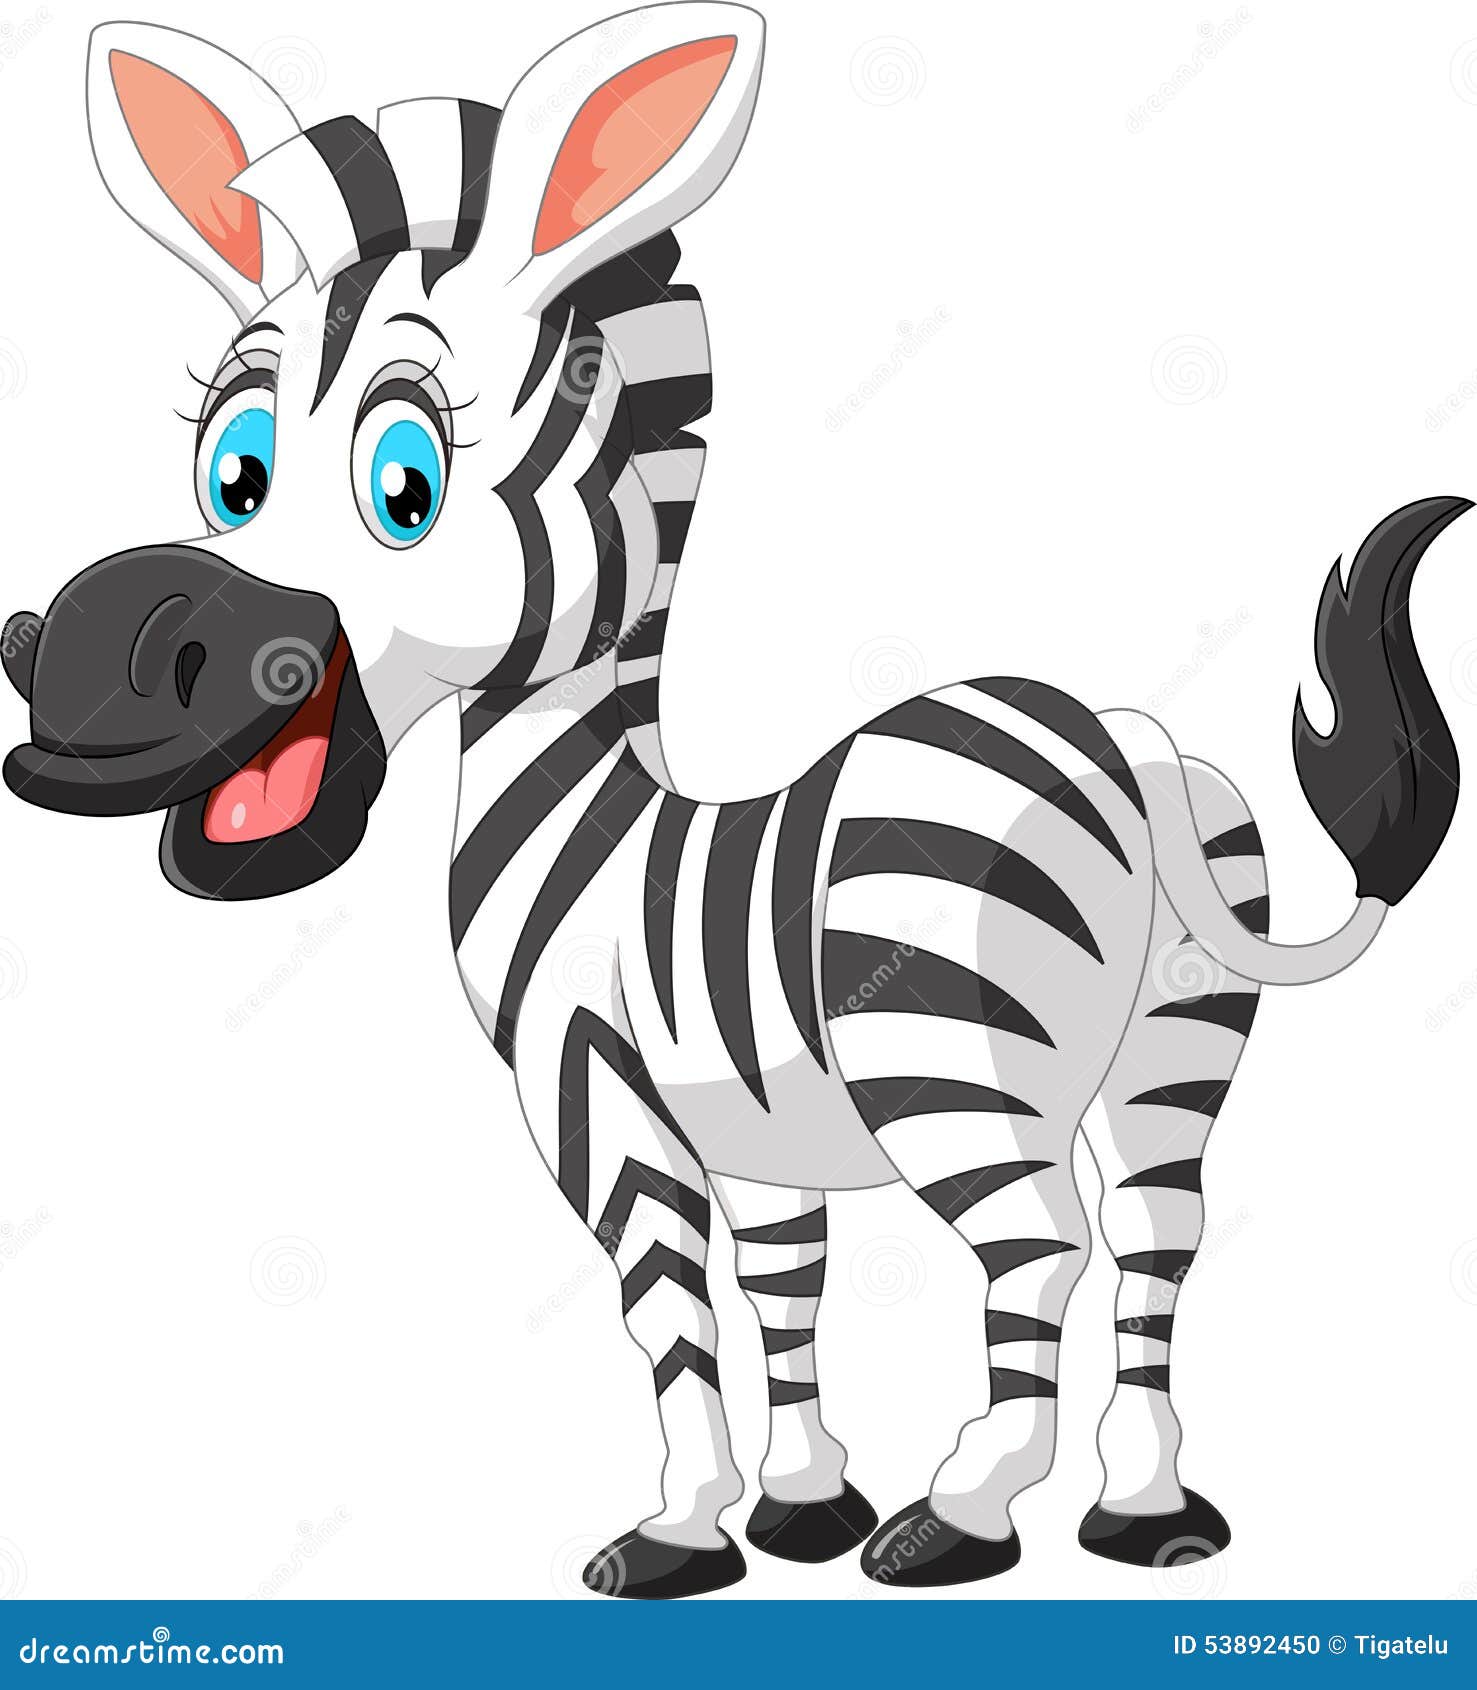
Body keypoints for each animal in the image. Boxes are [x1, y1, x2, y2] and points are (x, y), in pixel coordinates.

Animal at [0, 7, 1465, 1599]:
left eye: (405, 484)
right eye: (235, 471)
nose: (75, 658)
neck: (582, 813)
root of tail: (1110, 742)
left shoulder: (588, 1084)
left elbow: (664, 1293)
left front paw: (676, 1536)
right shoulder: (756, 1122)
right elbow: (783, 1293)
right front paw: (799, 1508)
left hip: (940, 1053)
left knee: (1040, 1243)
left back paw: (962, 1514)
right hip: (1178, 1045)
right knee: (1158, 1236)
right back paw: (1147, 1518)